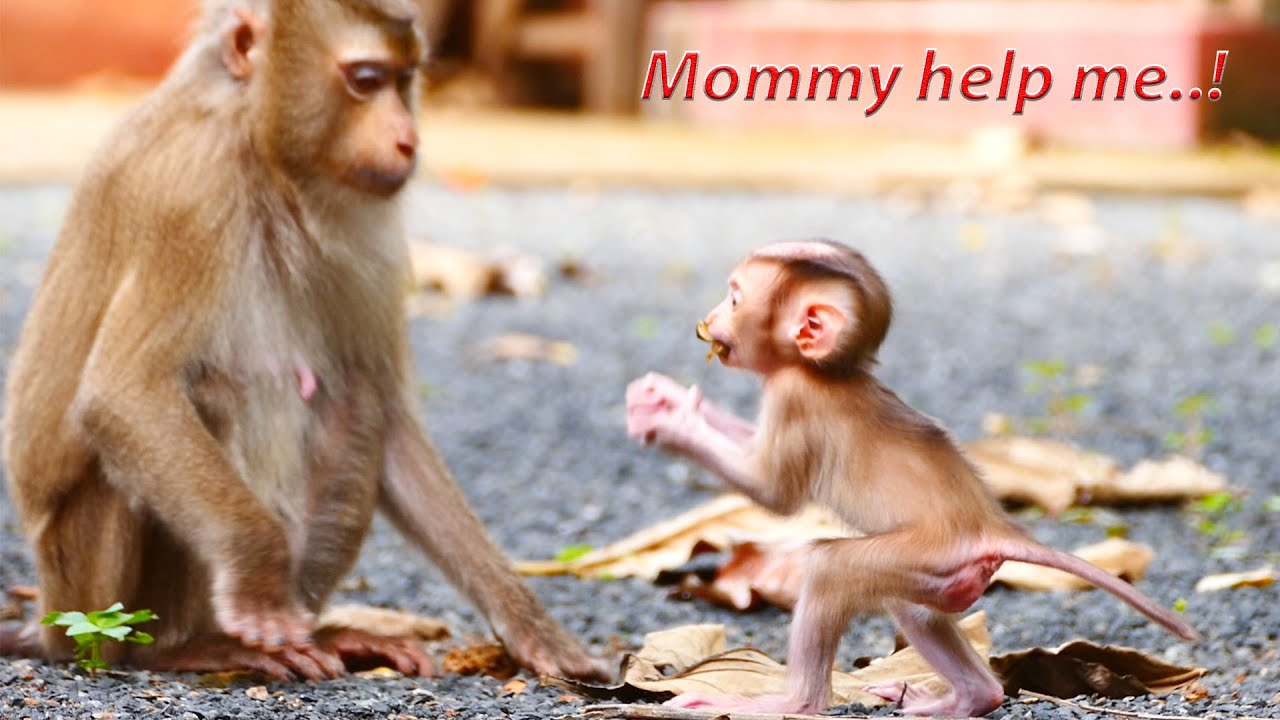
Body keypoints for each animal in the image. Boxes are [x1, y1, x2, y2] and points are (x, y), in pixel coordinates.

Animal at [0, 0, 608, 683]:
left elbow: (394, 423)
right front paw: (260, 582)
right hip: (87, 597)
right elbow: (124, 395)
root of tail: (48, 614)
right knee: (202, 397)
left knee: (360, 399)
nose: (409, 139)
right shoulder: (190, 199)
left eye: (404, 80)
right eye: (365, 81)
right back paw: (184, 647)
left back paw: (328, 634)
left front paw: (531, 624)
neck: (261, 156)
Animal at [625, 239, 1196, 717]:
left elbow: (776, 495)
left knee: (830, 570)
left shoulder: (794, 396)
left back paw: (790, 702)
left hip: (928, 551)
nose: (708, 319)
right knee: (916, 609)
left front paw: (673, 424)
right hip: (942, 573)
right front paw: (670, 400)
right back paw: (971, 697)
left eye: (735, 299)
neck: (825, 370)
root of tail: (991, 525)